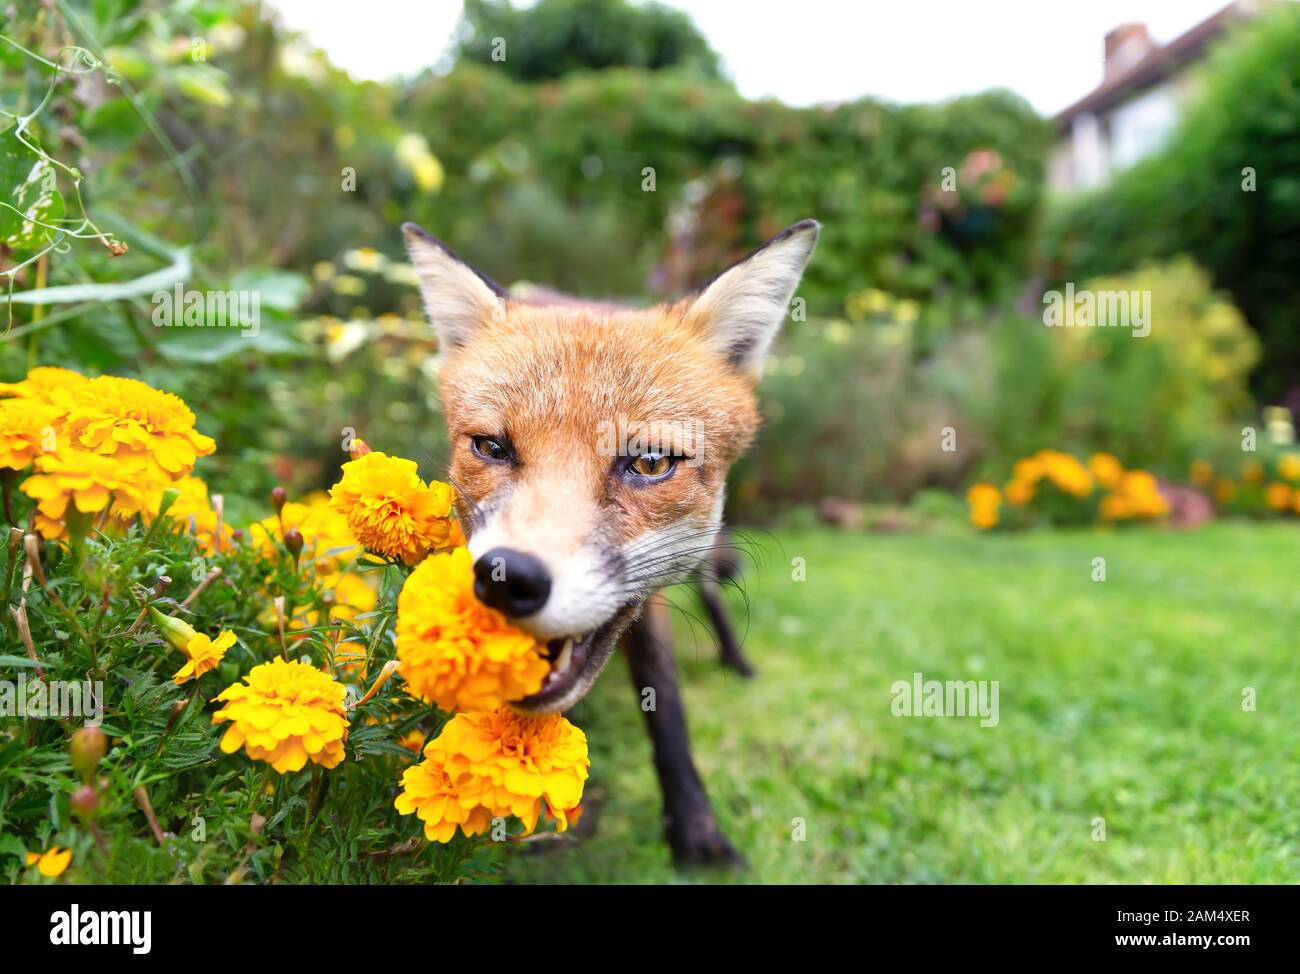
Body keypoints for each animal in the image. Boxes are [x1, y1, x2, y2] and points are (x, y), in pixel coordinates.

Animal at [402, 217, 821, 865]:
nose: (508, 577)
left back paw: (736, 661)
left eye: (648, 463)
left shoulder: (652, 612)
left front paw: (696, 831)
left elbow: (665, 699)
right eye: (492, 447)